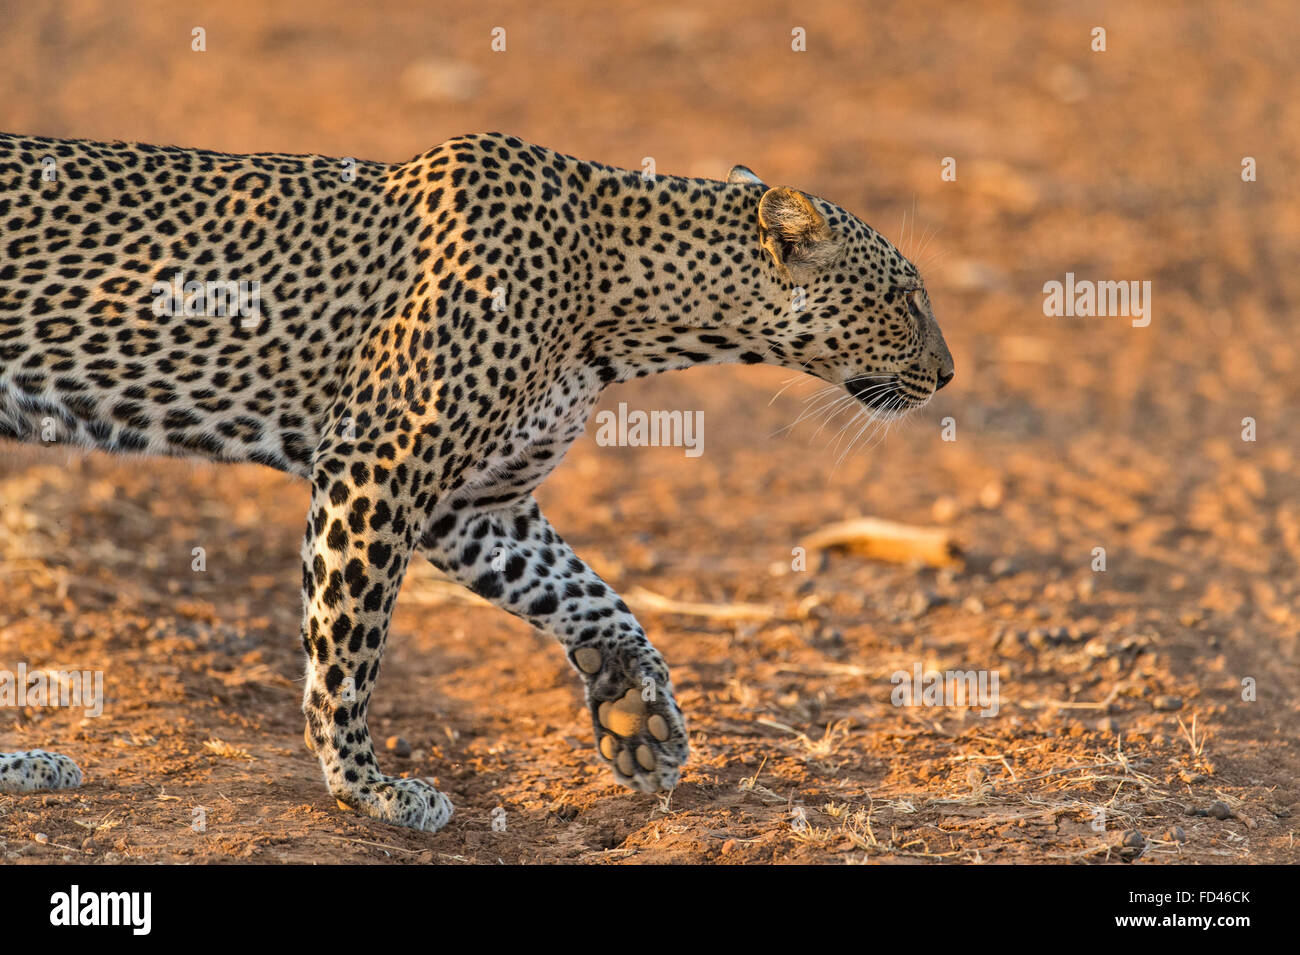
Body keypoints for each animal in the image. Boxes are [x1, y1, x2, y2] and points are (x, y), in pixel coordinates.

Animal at [0, 130, 954, 831]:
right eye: (907, 297)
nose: (948, 375)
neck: (622, 308)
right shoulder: (377, 460)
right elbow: (347, 647)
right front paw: (367, 786)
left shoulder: (477, 506)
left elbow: (591, 593)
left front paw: (636, 714)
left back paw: (24, 765)